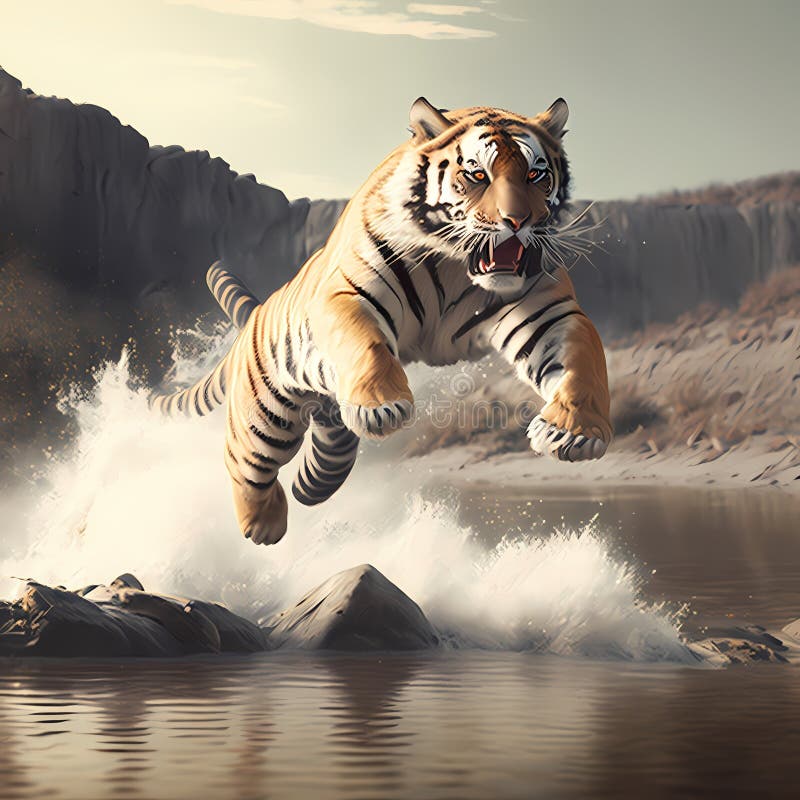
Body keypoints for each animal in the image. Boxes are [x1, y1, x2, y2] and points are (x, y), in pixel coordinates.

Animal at [151, 97, 612, 546]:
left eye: (536, 174)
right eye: (477, 174)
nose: (517, 222)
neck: (456, 266)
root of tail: (258, 314)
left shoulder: (549, 311)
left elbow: (583, 364)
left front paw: (573, 433)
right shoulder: (347, 294)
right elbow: (367, 343)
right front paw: (382, 406)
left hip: (328, 417)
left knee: (330, 452)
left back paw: (308, 488)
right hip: (264, 416)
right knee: (245, 461)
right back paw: (262, 525)